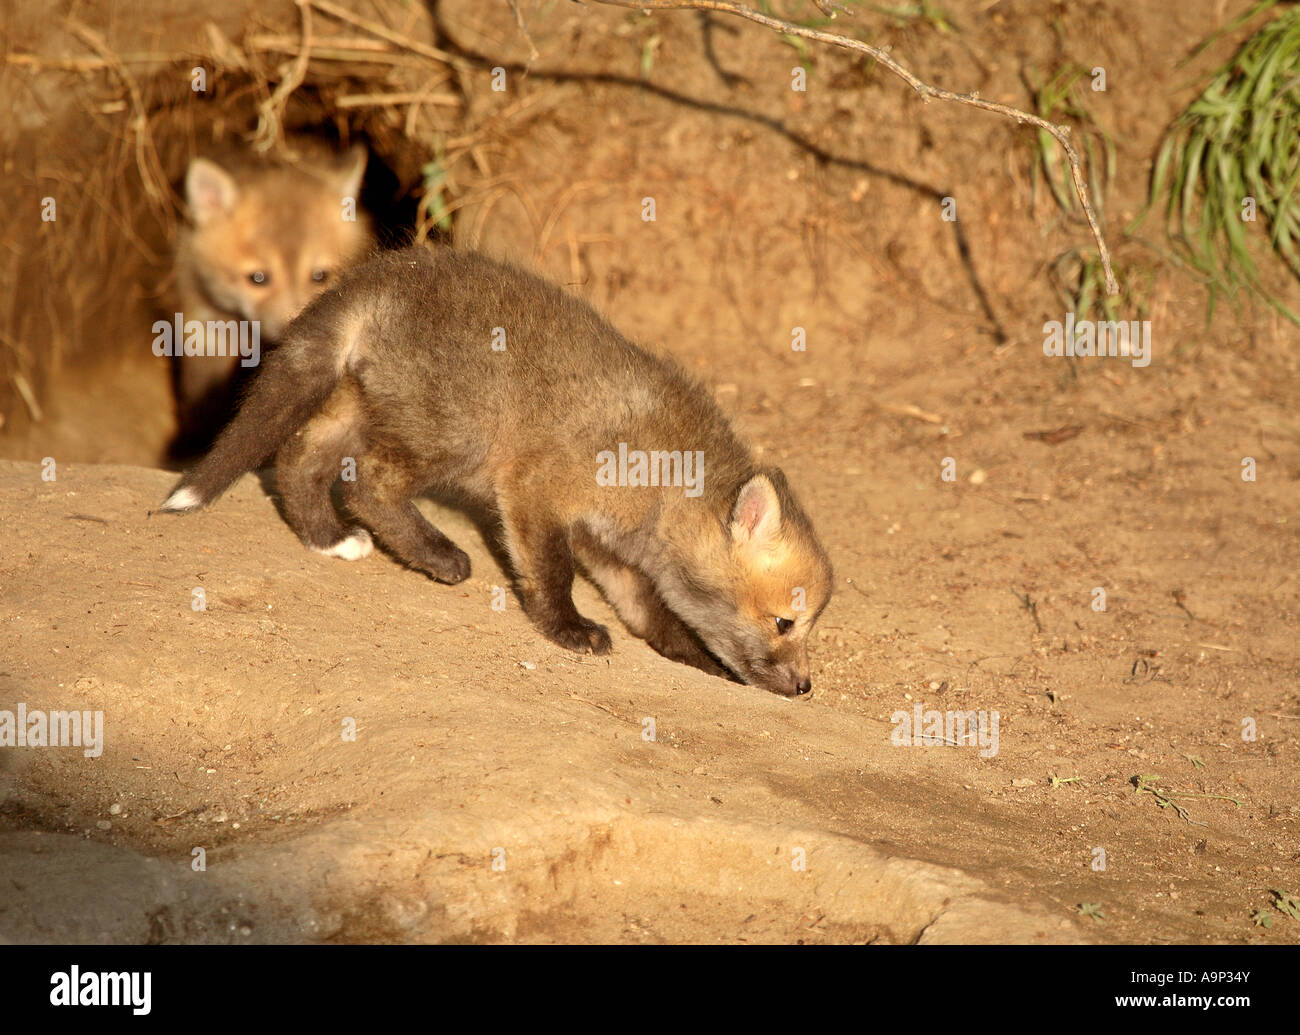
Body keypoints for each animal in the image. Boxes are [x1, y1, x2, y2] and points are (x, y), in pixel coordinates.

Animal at [159, 246, 833, 696]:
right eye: (784, 621)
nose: (804, 688)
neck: (666, 482)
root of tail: (382, 274)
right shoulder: (537, 494)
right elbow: (552, 577)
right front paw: (569, 632)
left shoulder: (614, 554)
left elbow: (653, 617)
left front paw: (698, 660)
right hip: (457, 436)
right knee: (367, 481)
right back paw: (439, 556)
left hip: (363, 407)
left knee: (299, 459)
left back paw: (328, 541)